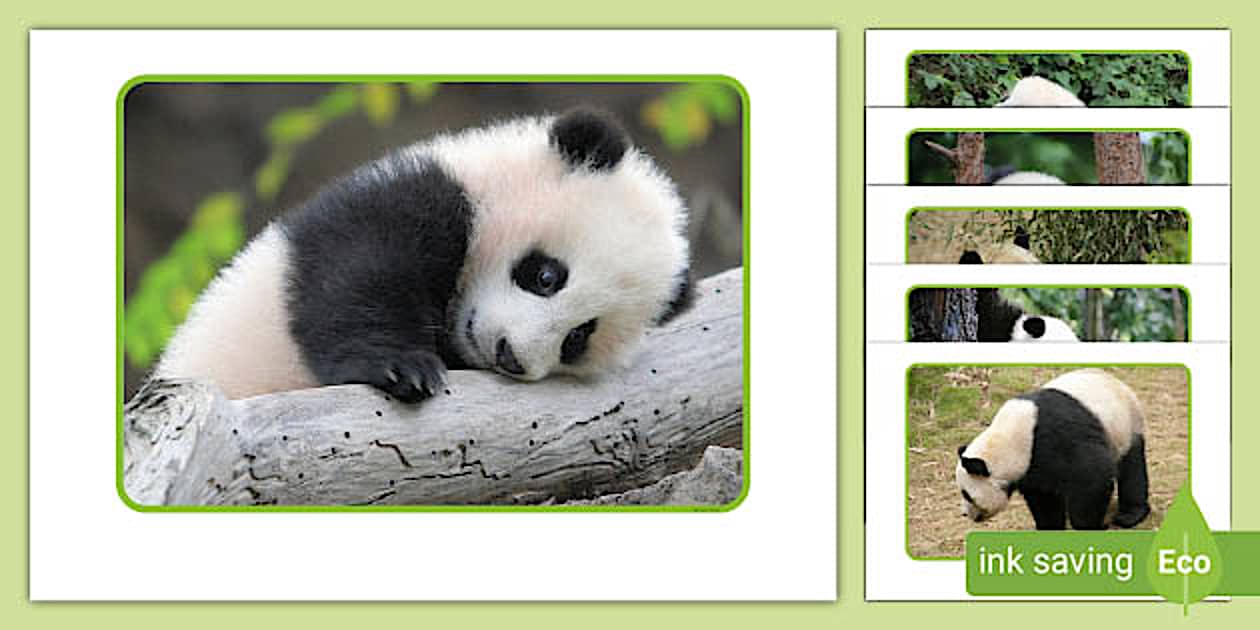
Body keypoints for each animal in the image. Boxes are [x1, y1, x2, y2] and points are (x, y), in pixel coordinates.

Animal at [151, 109, 695, 403]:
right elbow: (355, 273)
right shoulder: (417, 197)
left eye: (580, 337)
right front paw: (400, 367)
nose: (510, 356)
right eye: (546, 276)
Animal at [955, 368, 1151, 530]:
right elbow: (1044, 500)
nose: (965, 514)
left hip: (1126, 426)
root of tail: (1118, 382)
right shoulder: (1032, 467)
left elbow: (1092, 479)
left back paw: (1130, 515)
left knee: (1132, 469)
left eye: (966, 494)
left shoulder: (1059, 439)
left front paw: (1089, 525)